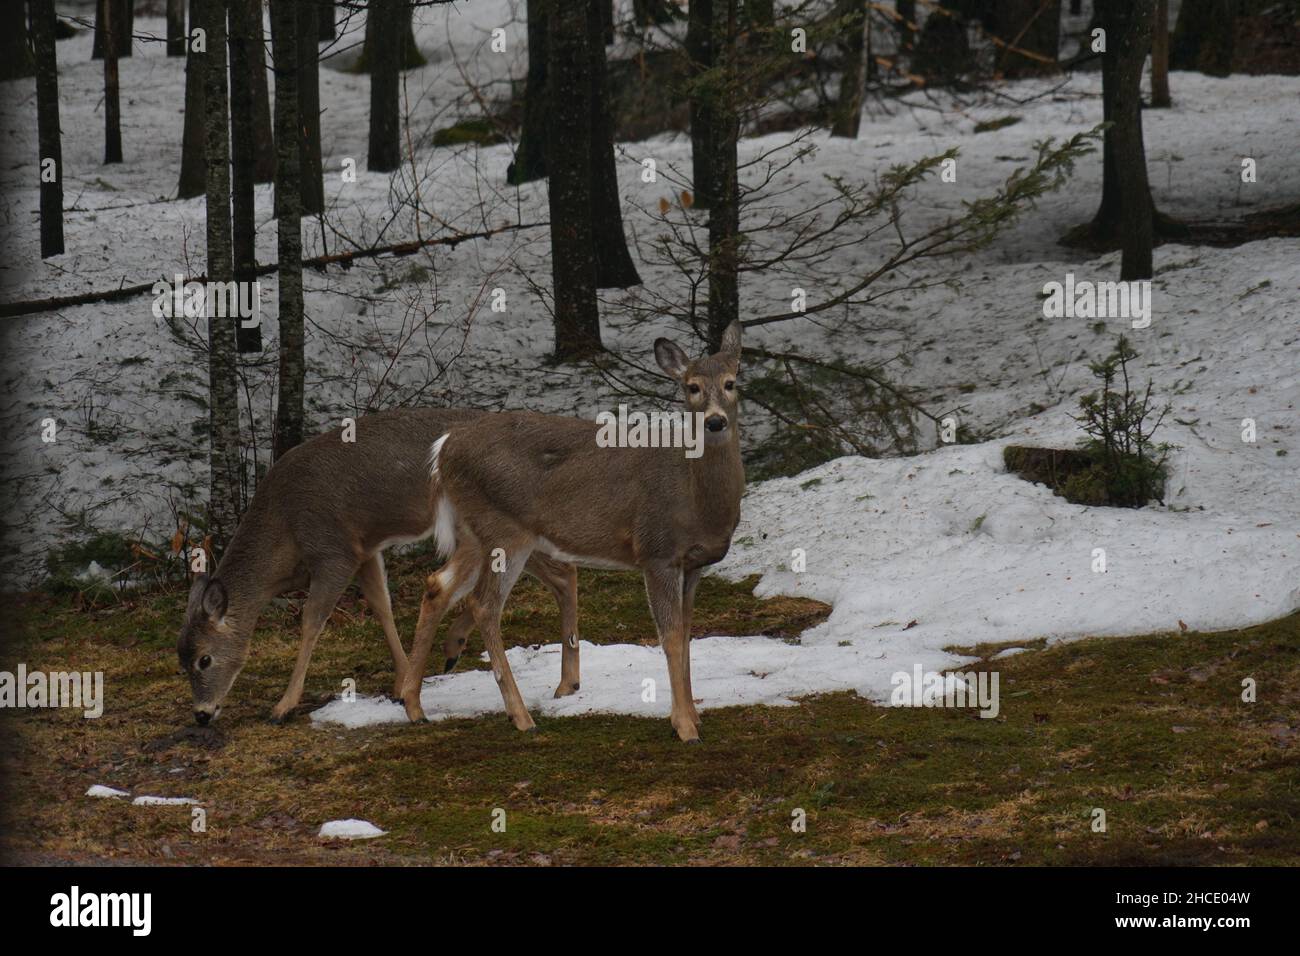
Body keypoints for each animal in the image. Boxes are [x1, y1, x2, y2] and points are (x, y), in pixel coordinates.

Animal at [177, 407, 582, 727]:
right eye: (180, 660)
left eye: (204, 659)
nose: (202, 714)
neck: (284, 534)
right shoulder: (365, 550)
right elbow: (381, 606)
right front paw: (403, 684)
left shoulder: (334, 551)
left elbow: (311, 622)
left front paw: (283, 706)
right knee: (555, 576)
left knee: (556, 573)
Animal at [399, 322, 745, 743]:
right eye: (691, 386)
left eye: (731, 382)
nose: (715, 421)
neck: (695, 497)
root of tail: (444, 446)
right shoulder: (656, 550)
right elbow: (672, 637)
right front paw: (684, 725)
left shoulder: (694, 565)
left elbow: (688, 635)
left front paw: (695, 714)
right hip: (503, 529)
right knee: (484, 604)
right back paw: (521, 716)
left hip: (474, 531)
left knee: (438, 584)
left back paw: (414, 705)